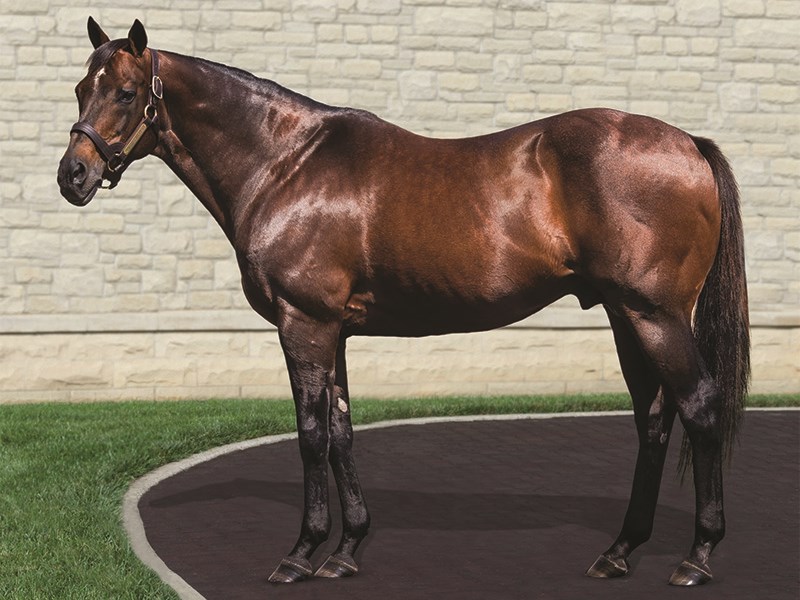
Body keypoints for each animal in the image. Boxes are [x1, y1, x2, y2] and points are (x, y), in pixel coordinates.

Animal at [58, 18, 749, 587]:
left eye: (125, 93)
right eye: (80, 89)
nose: (73, 176)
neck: (284, 165)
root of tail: (688, 143)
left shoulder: (303, 324)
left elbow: (310, 434)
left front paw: (299, 555)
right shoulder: (333, 330)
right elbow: (341, 430)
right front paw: (344, 552)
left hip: (654, 315)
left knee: (699, 406)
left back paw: (696, 558)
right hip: (623, 315)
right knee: (654, 417)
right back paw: (619, 552)